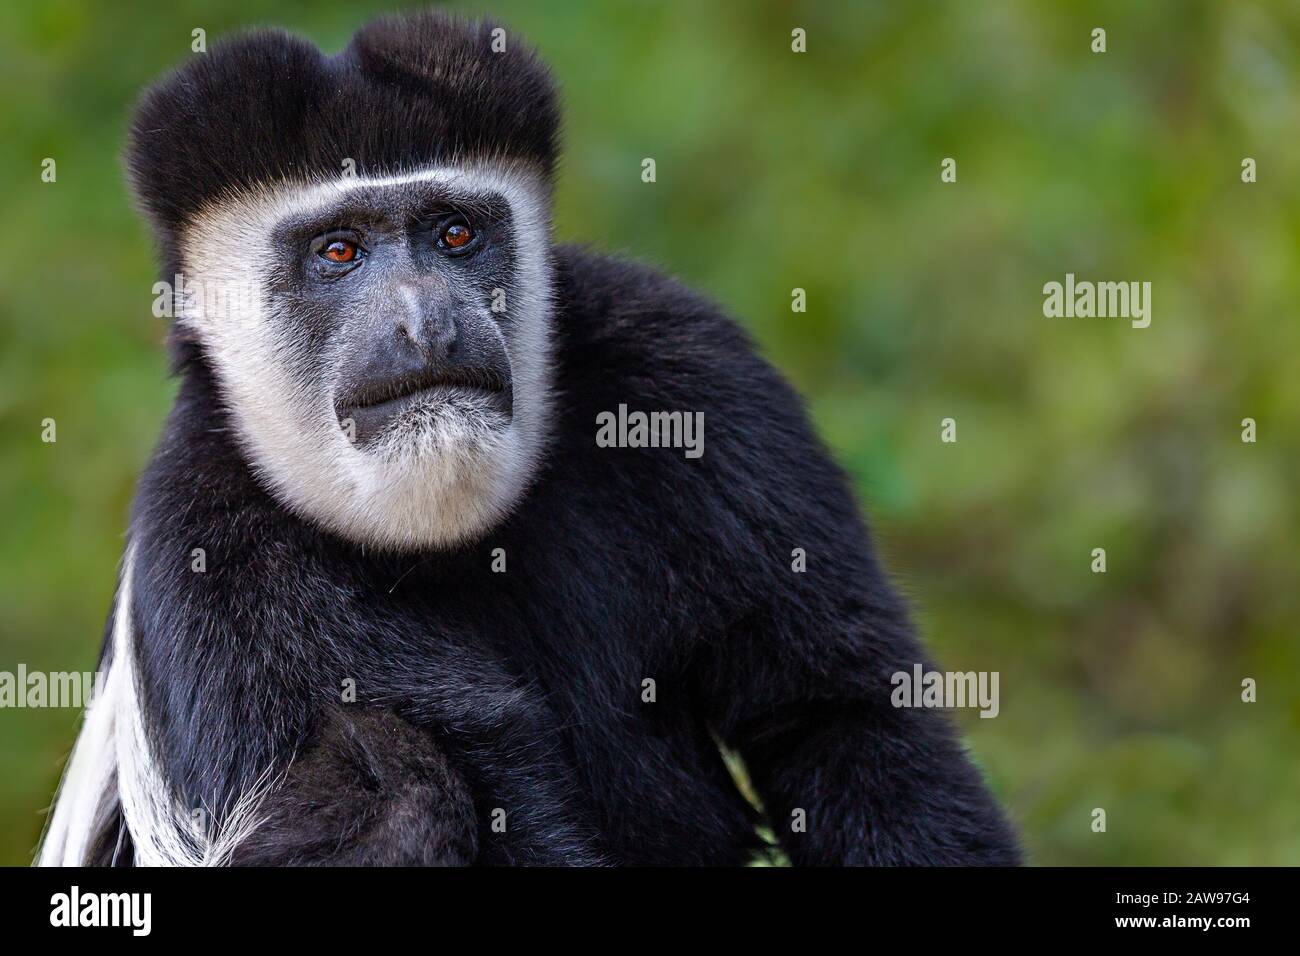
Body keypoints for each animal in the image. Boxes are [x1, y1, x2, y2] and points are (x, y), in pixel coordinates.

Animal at [39, 11, 1020, 866]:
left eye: (456, 232)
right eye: (338, 251)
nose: (425, 324)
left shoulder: (693, 369)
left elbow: (836, 709)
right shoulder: (221, 569)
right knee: (397, 780)